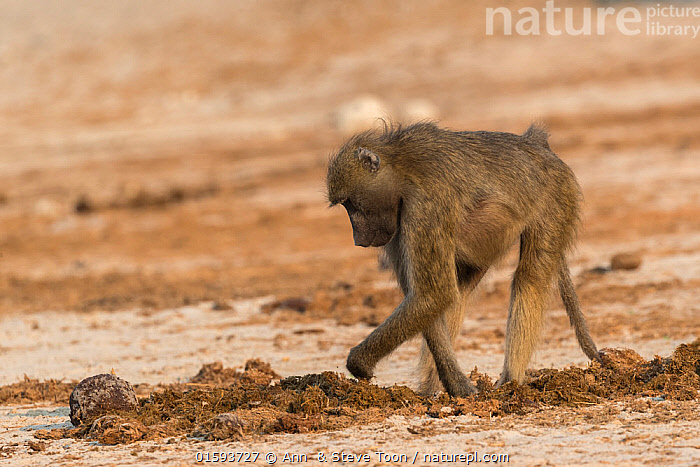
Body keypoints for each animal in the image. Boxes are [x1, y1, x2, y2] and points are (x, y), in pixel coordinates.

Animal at [326, 121, 601, 397]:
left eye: (351, 203)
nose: (358, 239)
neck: (400, 166)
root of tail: (536, 145)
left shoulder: (427, 205)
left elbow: (433, 294)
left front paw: (359, 363)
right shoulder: (399, 220)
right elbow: (426, 297)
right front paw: (457, 386)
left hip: (557, 197)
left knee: (530, 278)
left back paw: (510, 382)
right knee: (462, 288)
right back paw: (433, 388)